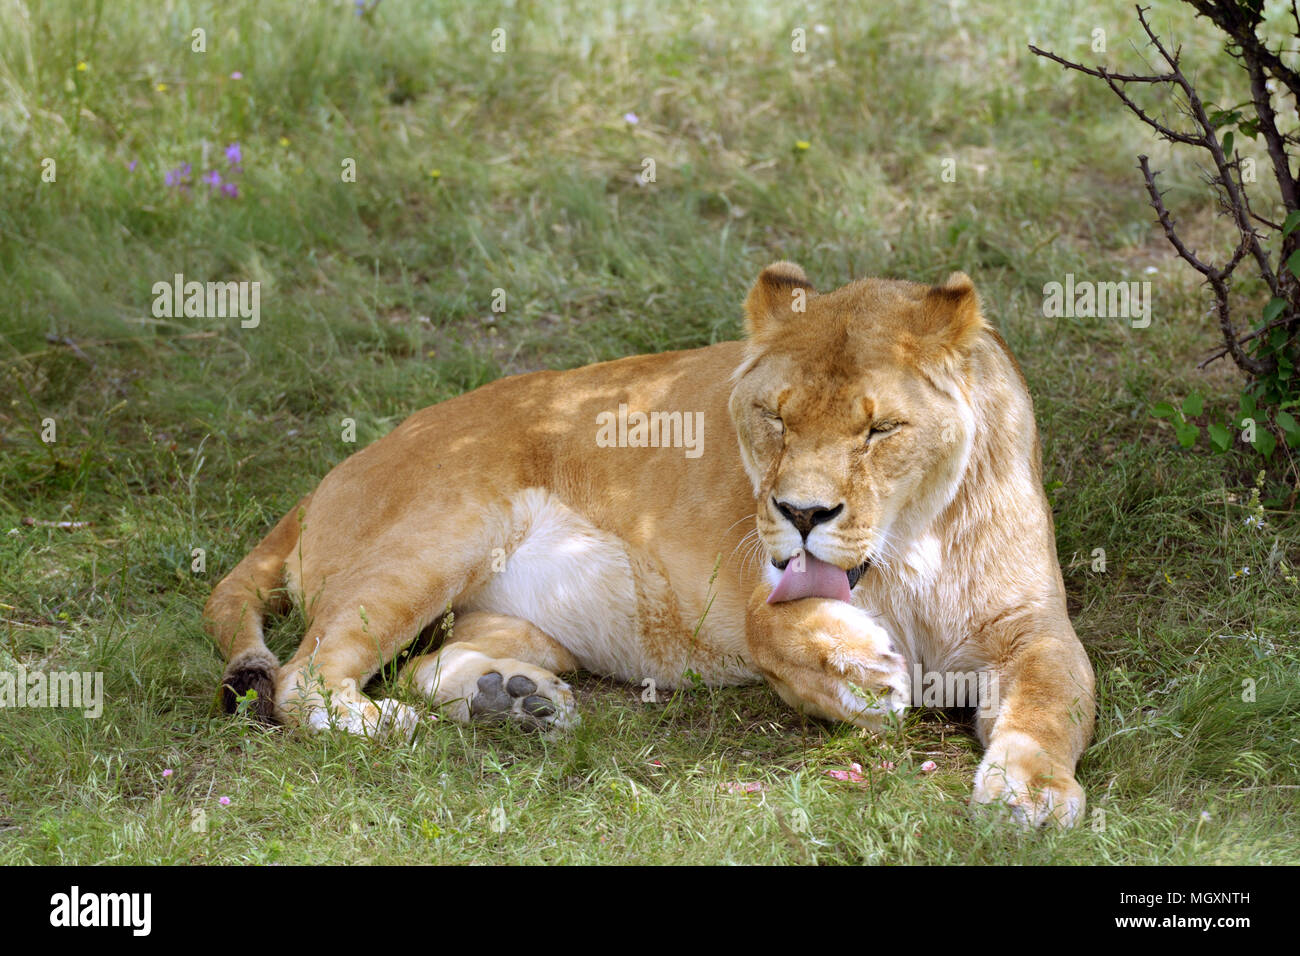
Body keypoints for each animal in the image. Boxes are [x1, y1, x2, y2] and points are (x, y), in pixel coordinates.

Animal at [204, 262, 1095, 827]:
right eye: (774, 417)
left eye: (881, 429)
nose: (803, 512)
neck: (908, 539)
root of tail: (323, 482)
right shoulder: (754, 581)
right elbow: (779, 632)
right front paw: (858, 670)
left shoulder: (1030, 627)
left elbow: (1051, 703)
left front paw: (1028, 794)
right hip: (446, 524)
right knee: (302, 676)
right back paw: (380, 720)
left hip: (511, 614)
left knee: (429, 662)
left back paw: (513, 700)